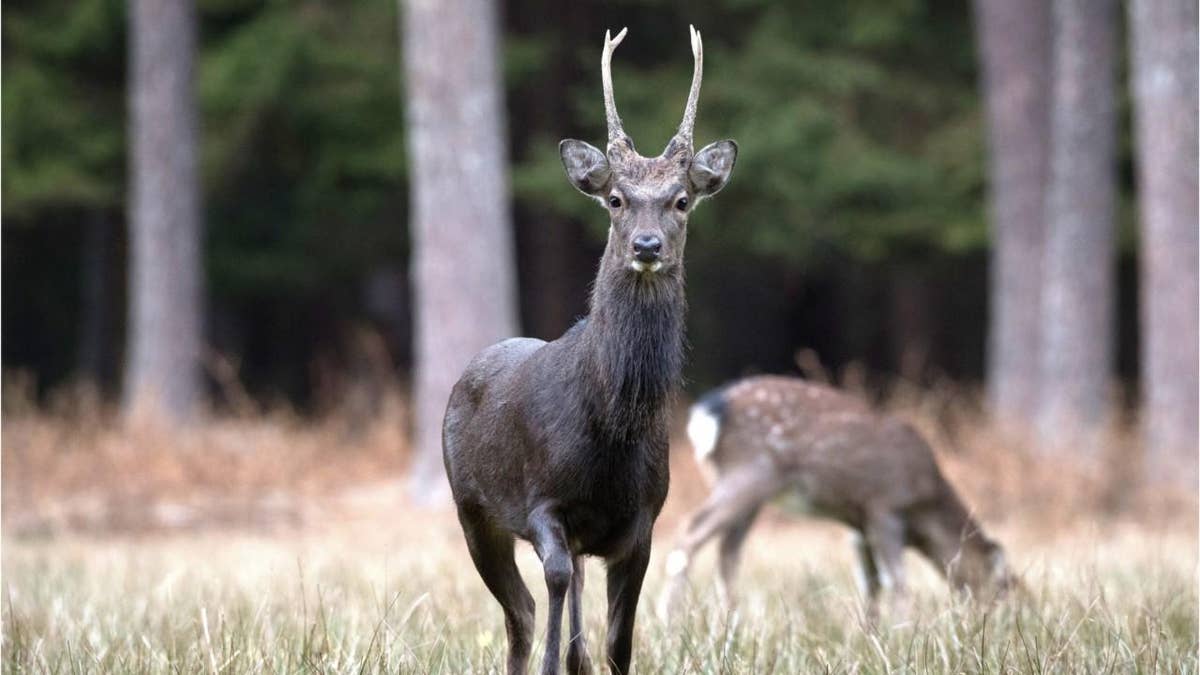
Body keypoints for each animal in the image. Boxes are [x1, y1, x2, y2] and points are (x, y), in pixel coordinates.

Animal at [442, 26, 737, 675]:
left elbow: (615, 645)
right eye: (616, 200)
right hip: (471, 507)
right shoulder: (541, 502)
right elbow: (553, 599)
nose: (647, 246)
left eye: (681, 200)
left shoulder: (643, 520)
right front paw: (551, 659)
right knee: (523, 613)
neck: (610, 430)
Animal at [657, 375, 1017, 622]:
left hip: (744, 486)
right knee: (692, 531)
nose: (992, 620)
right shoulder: (884, 506)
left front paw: (873, 631)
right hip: (751, 471)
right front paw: (903, 628)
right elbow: (897, 579)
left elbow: (872, 583)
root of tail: (707, 412)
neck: (924, 502)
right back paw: (671, 618)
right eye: (1003, 586)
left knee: (728, 551)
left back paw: (731, 619)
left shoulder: (859, 526)